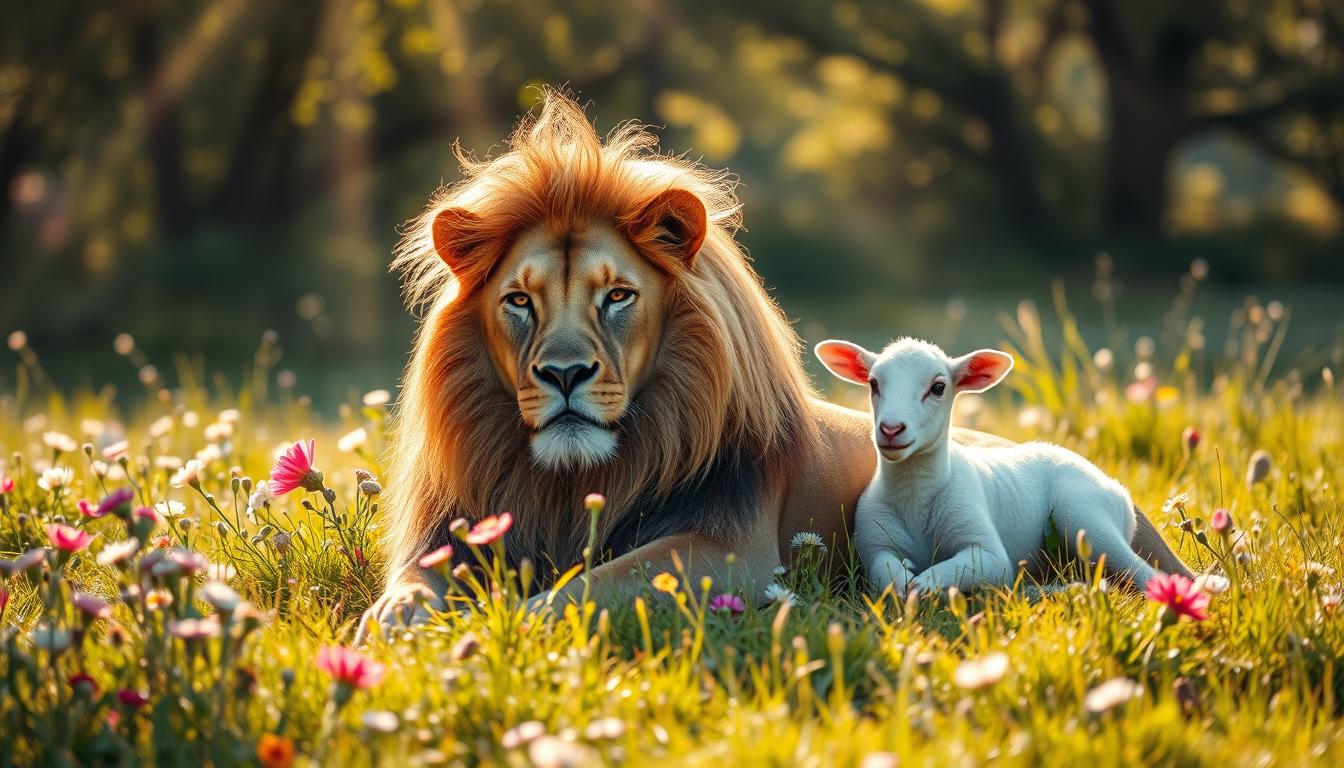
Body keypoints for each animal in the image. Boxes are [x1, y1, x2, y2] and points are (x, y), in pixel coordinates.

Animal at [815, 337, 1156, 596]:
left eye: (938, 387)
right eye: (873, 384)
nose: (890, 429)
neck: (915, 492)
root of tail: (1117, 489)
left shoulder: (987, 553)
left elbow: (945, 573)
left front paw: (922, 588)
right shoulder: (875, 546)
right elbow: (888, 576)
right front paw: (905, 587)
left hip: (1085, 514)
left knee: (1139, 571)